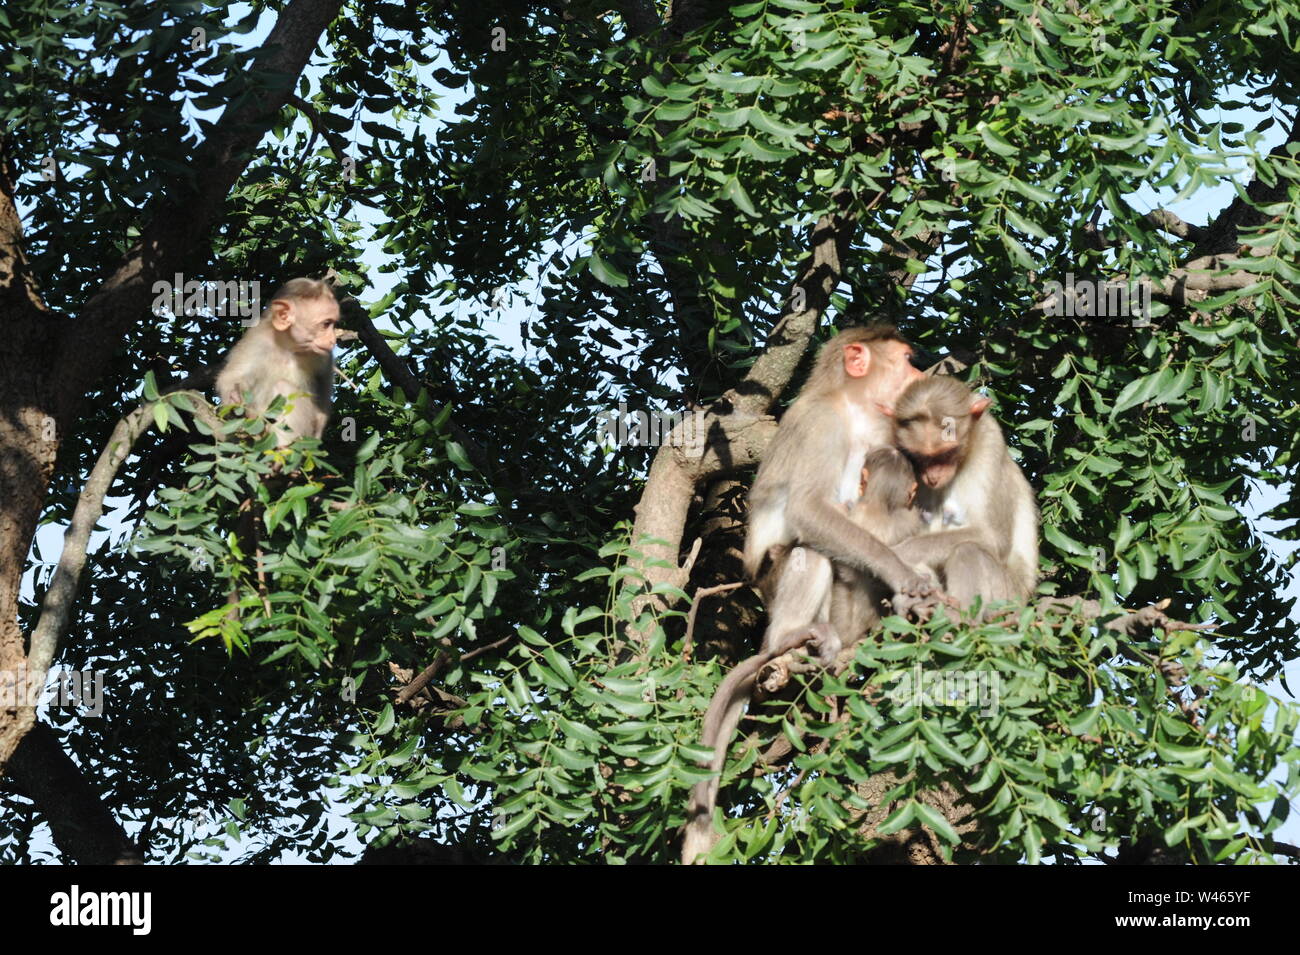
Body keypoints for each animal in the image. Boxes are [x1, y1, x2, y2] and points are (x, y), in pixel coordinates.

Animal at [215, 276, 339, 445]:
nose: (333, 339)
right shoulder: (257, 341)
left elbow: (323, 385)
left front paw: (319, 427)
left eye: (333, 324)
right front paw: (234, 397)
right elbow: (231, 376)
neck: (289, 347)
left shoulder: (324, 355)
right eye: (326, 324)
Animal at [884, 375, 1038, 609]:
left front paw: (899, 553)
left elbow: (991, 536)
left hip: (1008, 598)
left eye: (946, 453)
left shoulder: (990, 443)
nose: (933, 477)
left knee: (968, 551)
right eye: (919, 456)